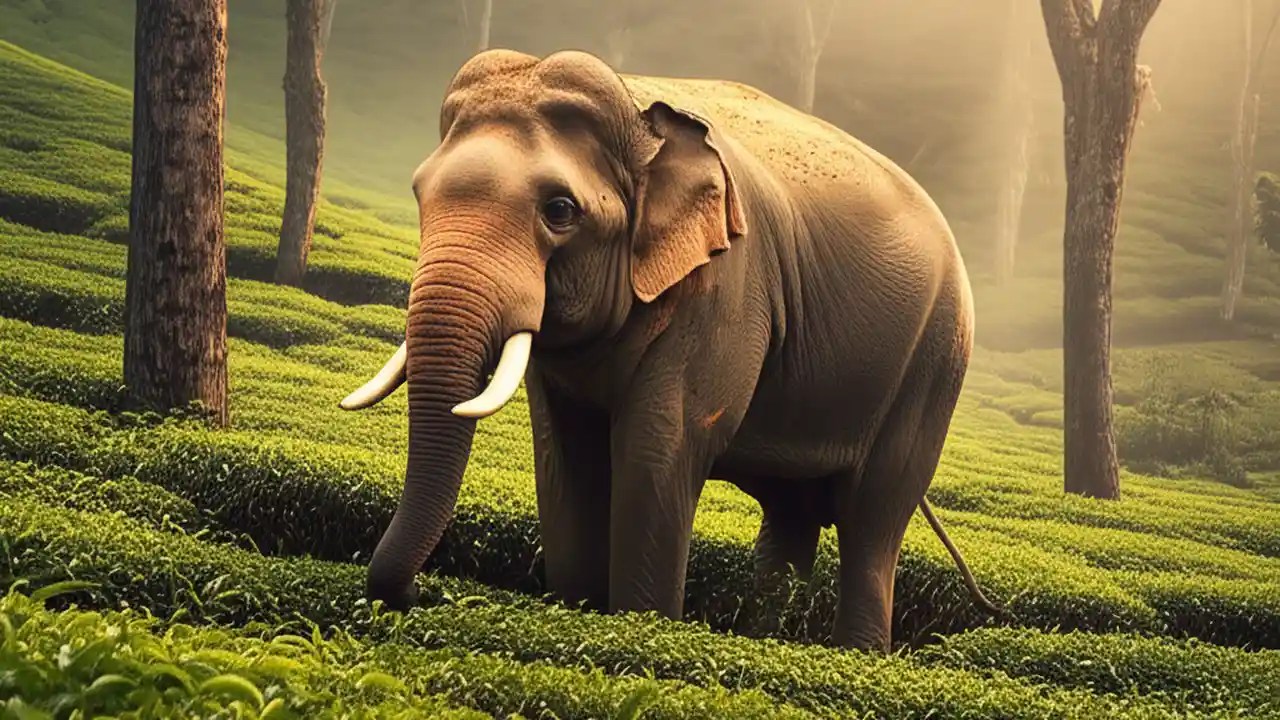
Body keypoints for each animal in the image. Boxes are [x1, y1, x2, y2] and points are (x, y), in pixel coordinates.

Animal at [339, 48, 999, 651]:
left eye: (560, 210)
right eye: (419, 192)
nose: (427, 594)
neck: (640, 115)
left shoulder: (727, 288)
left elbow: (657, 447)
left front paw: (641, 627)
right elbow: (565, 456)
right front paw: (575, 609)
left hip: (934, 365)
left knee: (872, 518)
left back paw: (857, 653)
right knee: (790, 513)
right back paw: (764, 640)